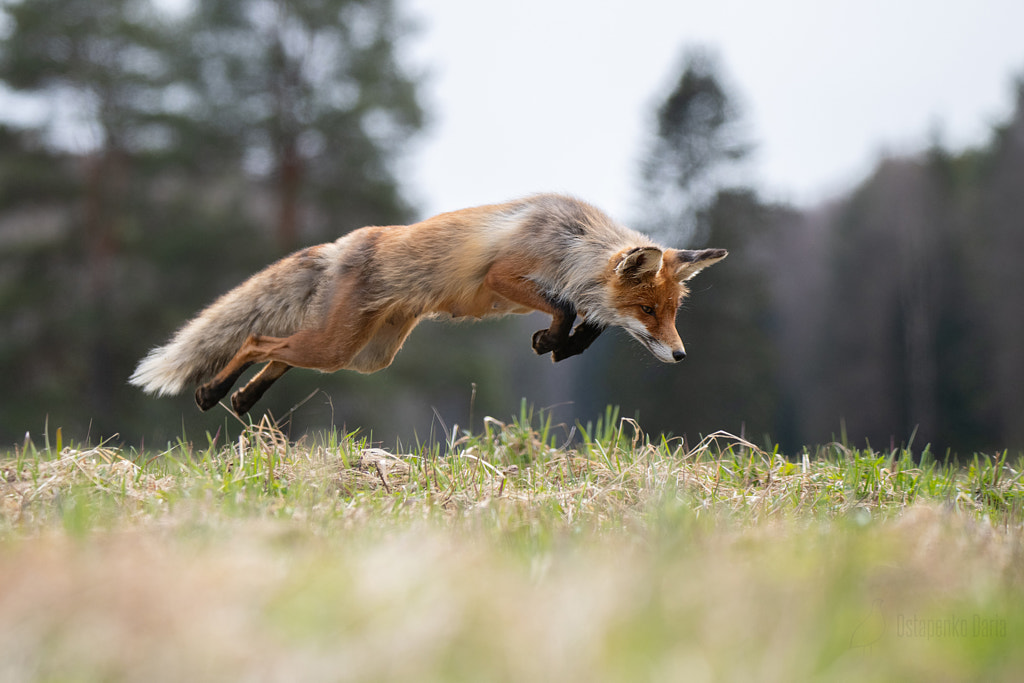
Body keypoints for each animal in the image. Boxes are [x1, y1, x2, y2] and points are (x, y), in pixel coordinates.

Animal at [130, 194, 727, 415]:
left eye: (672, 313)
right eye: (649, 312)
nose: (680, 355)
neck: (568, 242)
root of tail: (342, 244)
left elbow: (588, 319)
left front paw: (563, 346)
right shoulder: (503, 275)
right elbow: (563, 307)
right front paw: (555, 340)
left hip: (362, 356)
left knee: (278, 352)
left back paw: (241, 398)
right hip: (339, 346)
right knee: (257, 339)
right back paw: (213, 392)